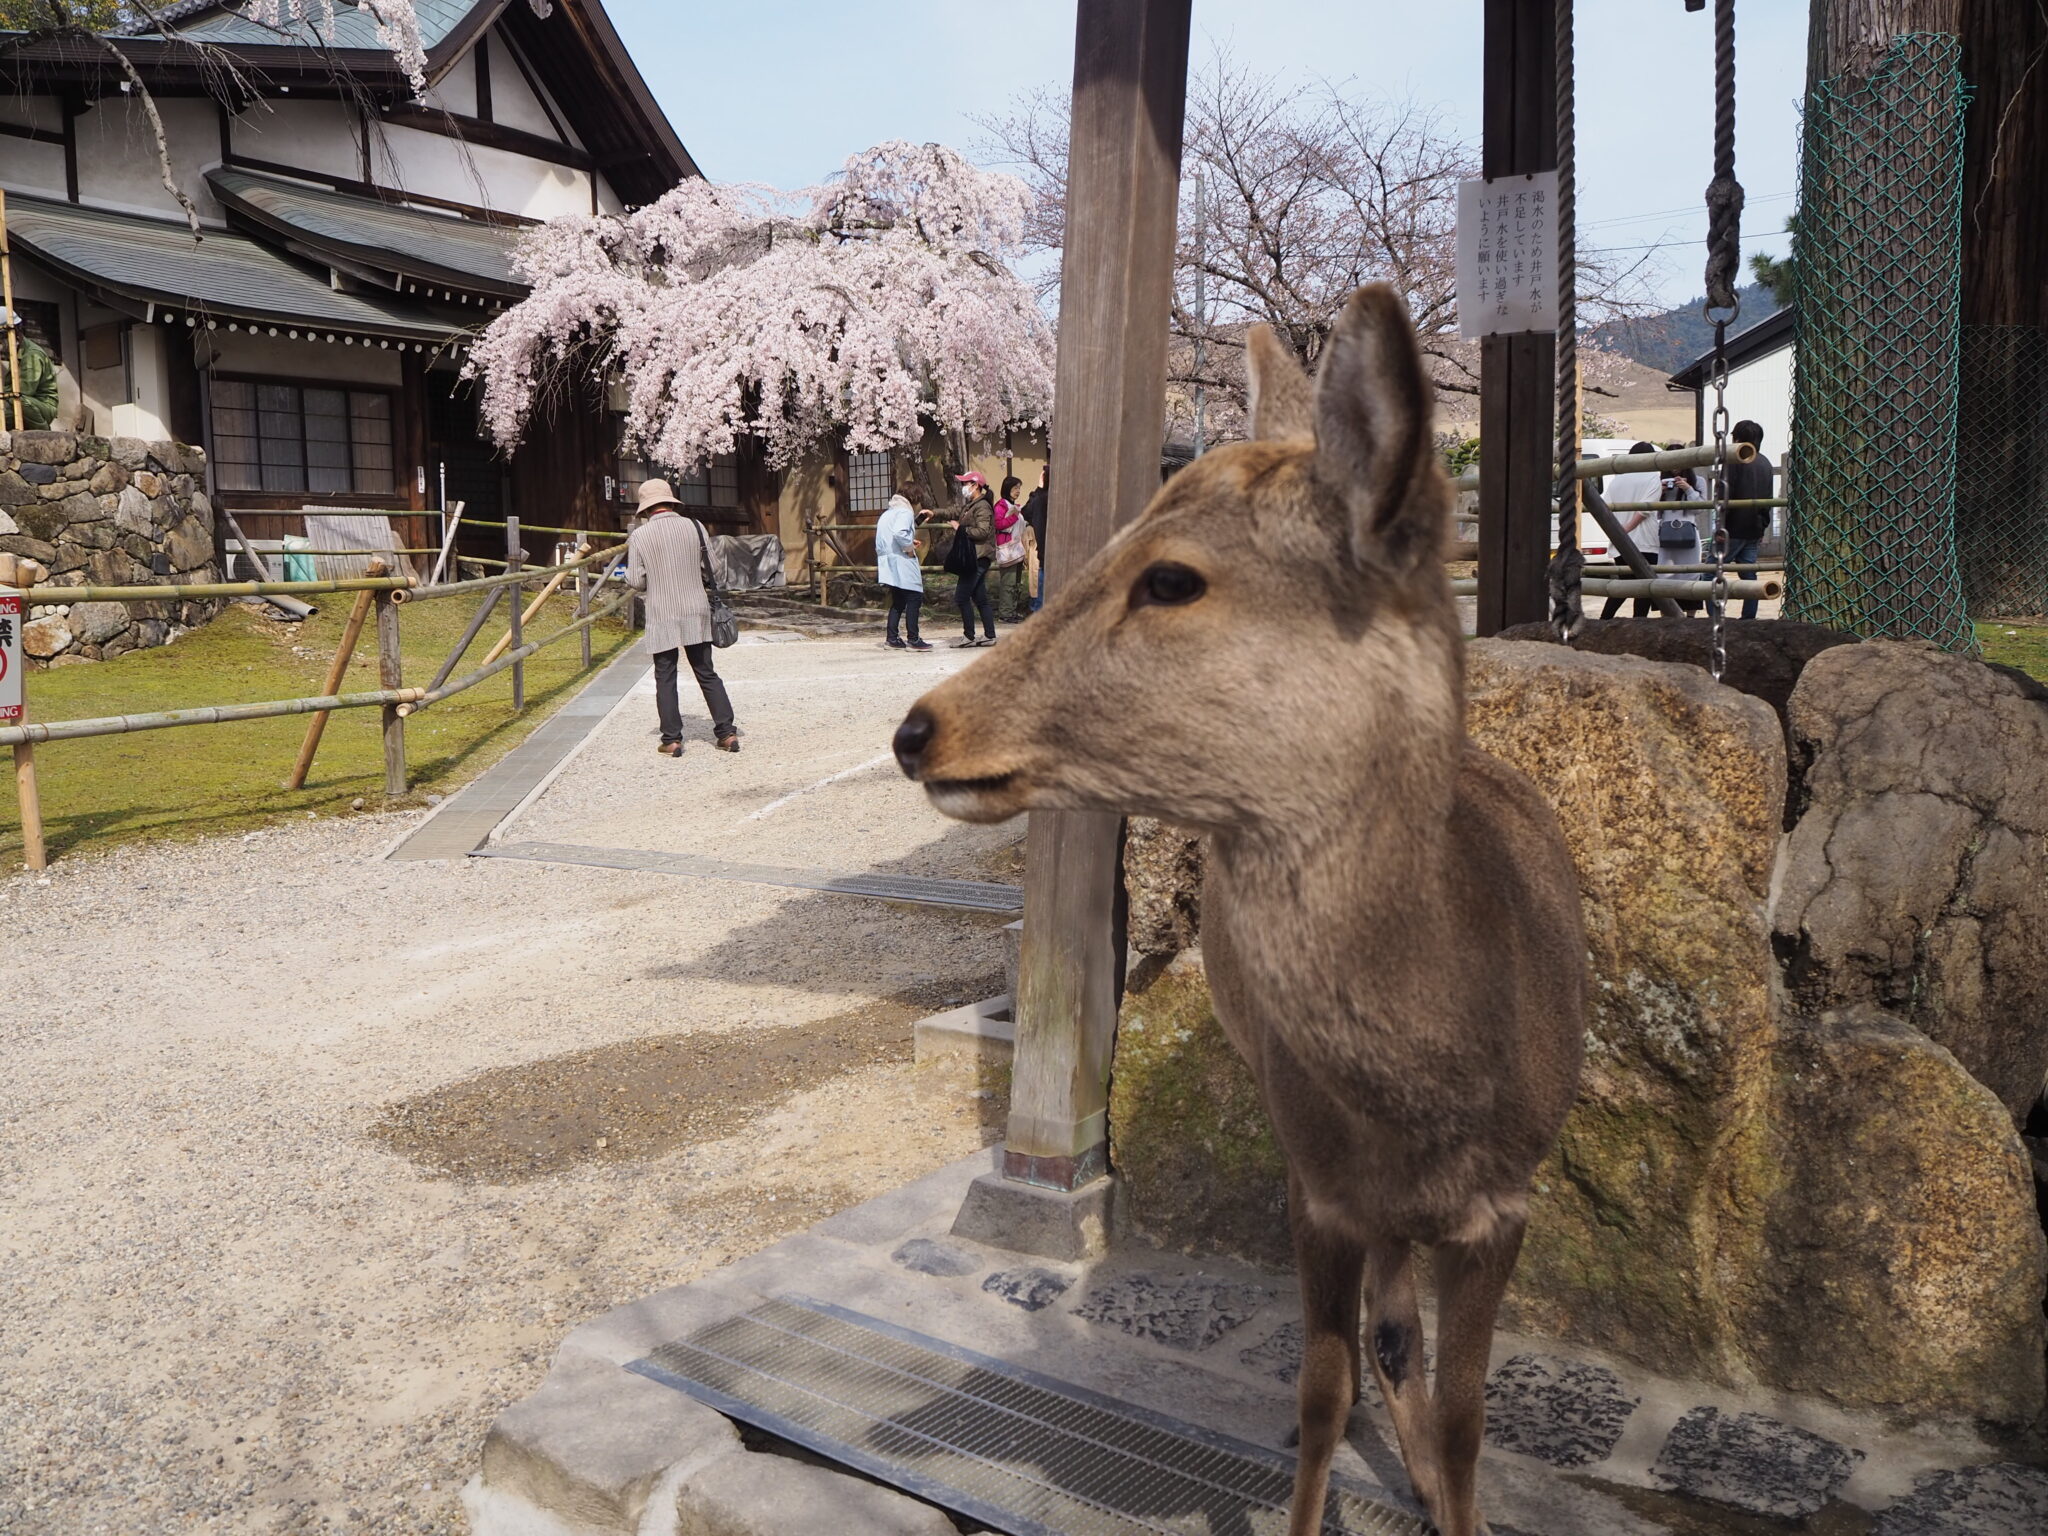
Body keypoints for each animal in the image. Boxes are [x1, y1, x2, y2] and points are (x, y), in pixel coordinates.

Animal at [891, 286, 1586, 1536]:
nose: (920, 728)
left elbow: (1469, 1421)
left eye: (1171, 578)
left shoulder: (1506, 1202)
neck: (1439, 1088)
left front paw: (1446, 1488)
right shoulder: (1319, 1187)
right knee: (1380, 1330)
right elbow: (1322, 1383)